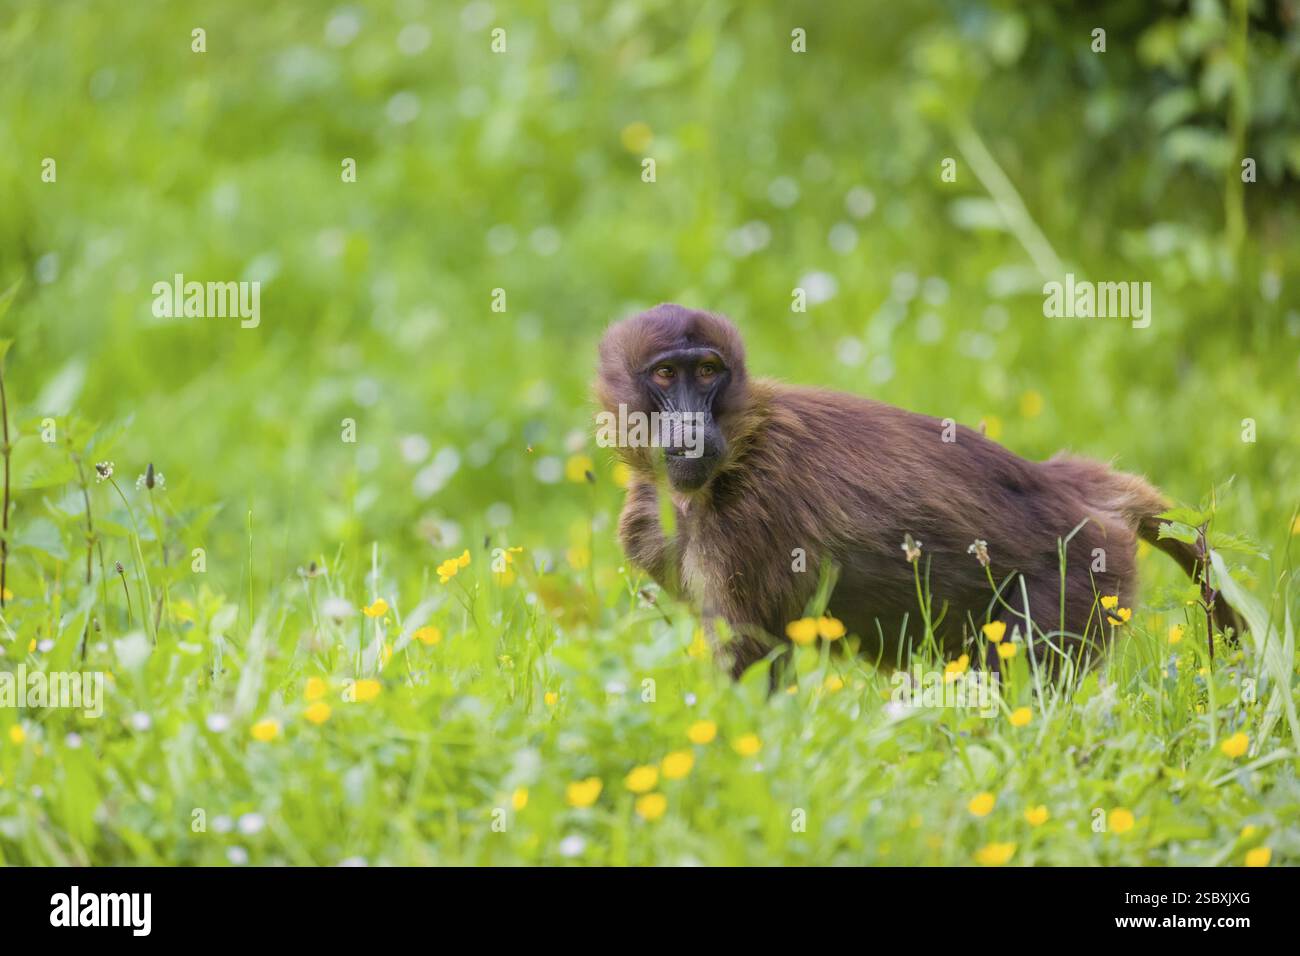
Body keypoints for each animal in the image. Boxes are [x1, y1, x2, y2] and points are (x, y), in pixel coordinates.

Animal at [595, 303, 1242, 679]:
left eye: (707, 372)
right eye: (665, 374)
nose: (690, 427)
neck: (739, 441)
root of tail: (1063, 482)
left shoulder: (741, 521)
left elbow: (752, 667)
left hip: (1082, 575)